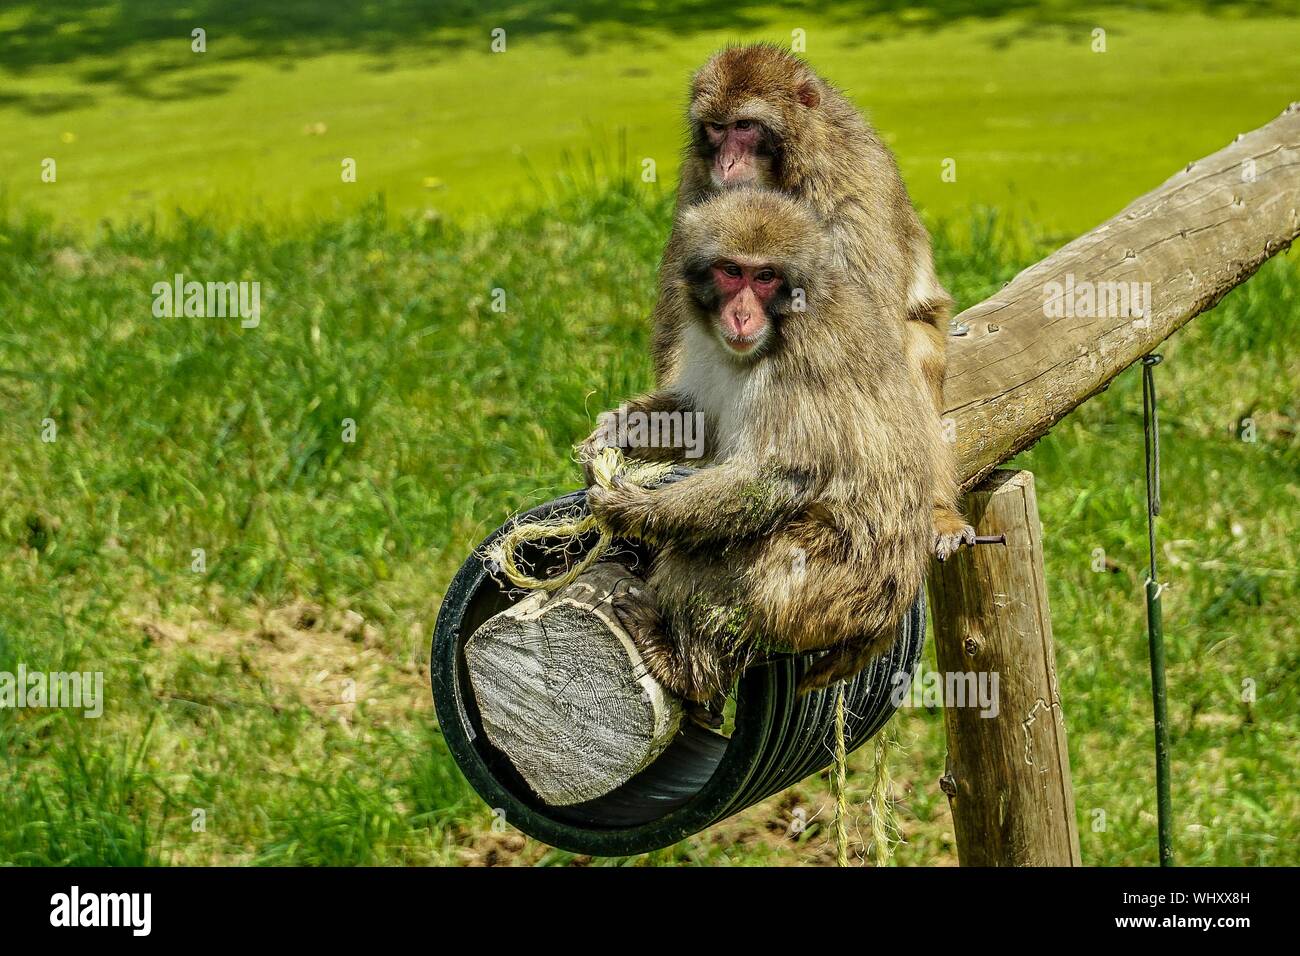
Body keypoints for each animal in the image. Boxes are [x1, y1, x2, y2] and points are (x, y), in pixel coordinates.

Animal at [583, 188, 939, 700]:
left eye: (766, 276)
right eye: (732, 271)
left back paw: (687, 670)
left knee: (719, 557)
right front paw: (612, 434)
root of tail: (887, 618)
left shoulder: (800, 364)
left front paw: (636, 510)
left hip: (833, 591)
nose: (742, 314)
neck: (778, 330)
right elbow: (697, 418)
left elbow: (782, 475)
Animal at [644, 43, 974, 560]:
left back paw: (936, 511)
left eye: (745, 126)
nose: (727, 164)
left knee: (912, 351)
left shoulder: (850, 179)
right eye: (716, 127)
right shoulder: (698, 187)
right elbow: (682, 320)